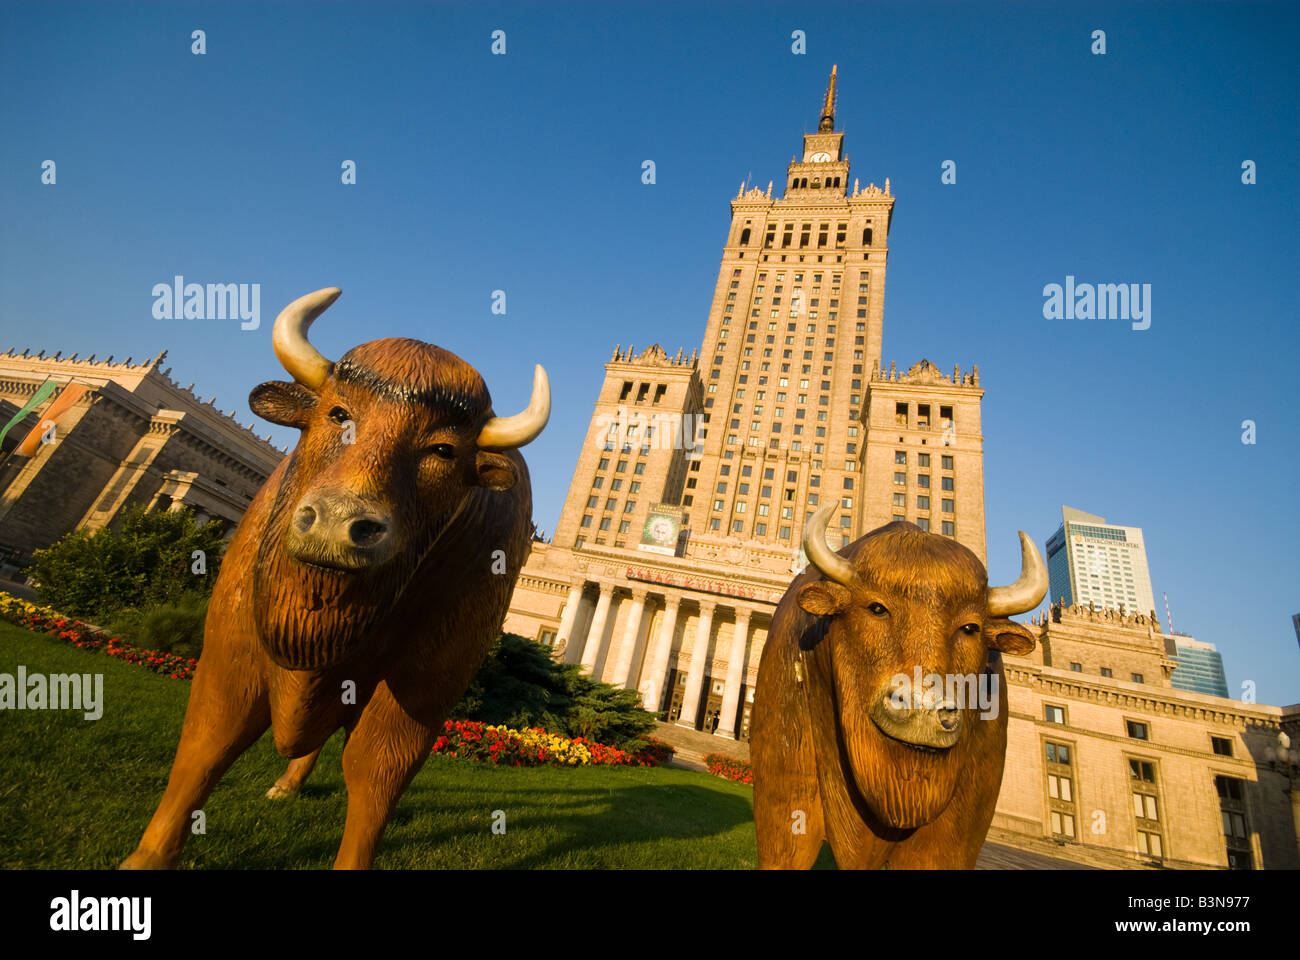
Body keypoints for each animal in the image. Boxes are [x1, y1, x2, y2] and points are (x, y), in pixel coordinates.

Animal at [120, 287, 548, 869]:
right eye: (337, 412)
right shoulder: (231, 640)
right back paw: (285, 785)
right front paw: (148, 855)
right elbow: (208, 741)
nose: (338, 525)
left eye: (443, 450)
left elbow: (375, 773)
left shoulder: (425, 685)